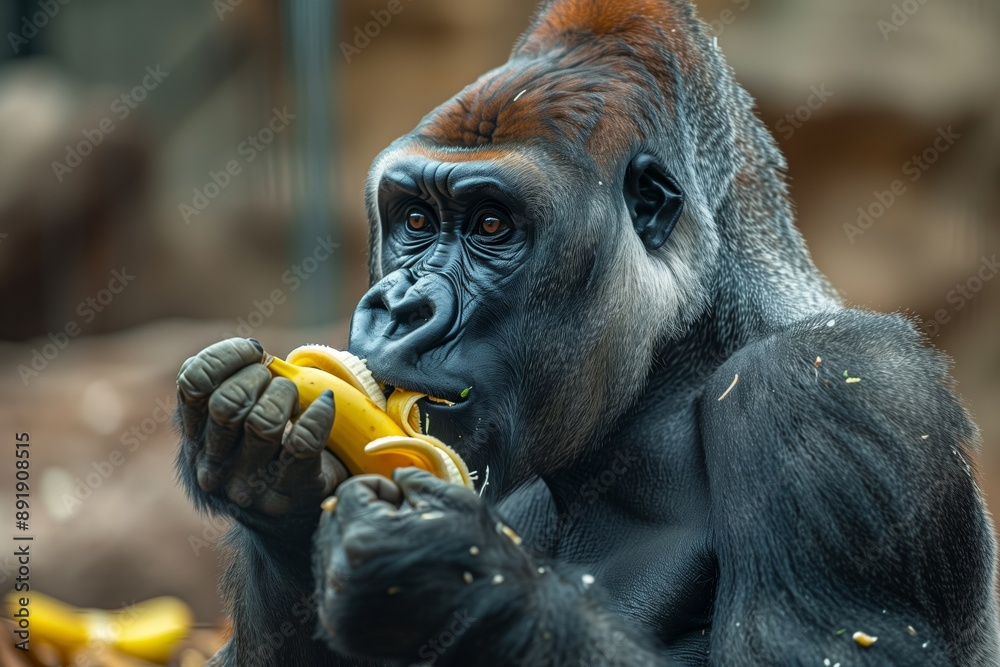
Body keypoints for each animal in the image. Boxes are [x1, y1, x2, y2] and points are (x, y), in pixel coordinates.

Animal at [175, 1, 1000, 664]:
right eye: (414, 219)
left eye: (491, 225)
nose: (398, 305)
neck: (674, 371)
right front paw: (277, 486)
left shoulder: (832, 386)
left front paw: (454, 574)